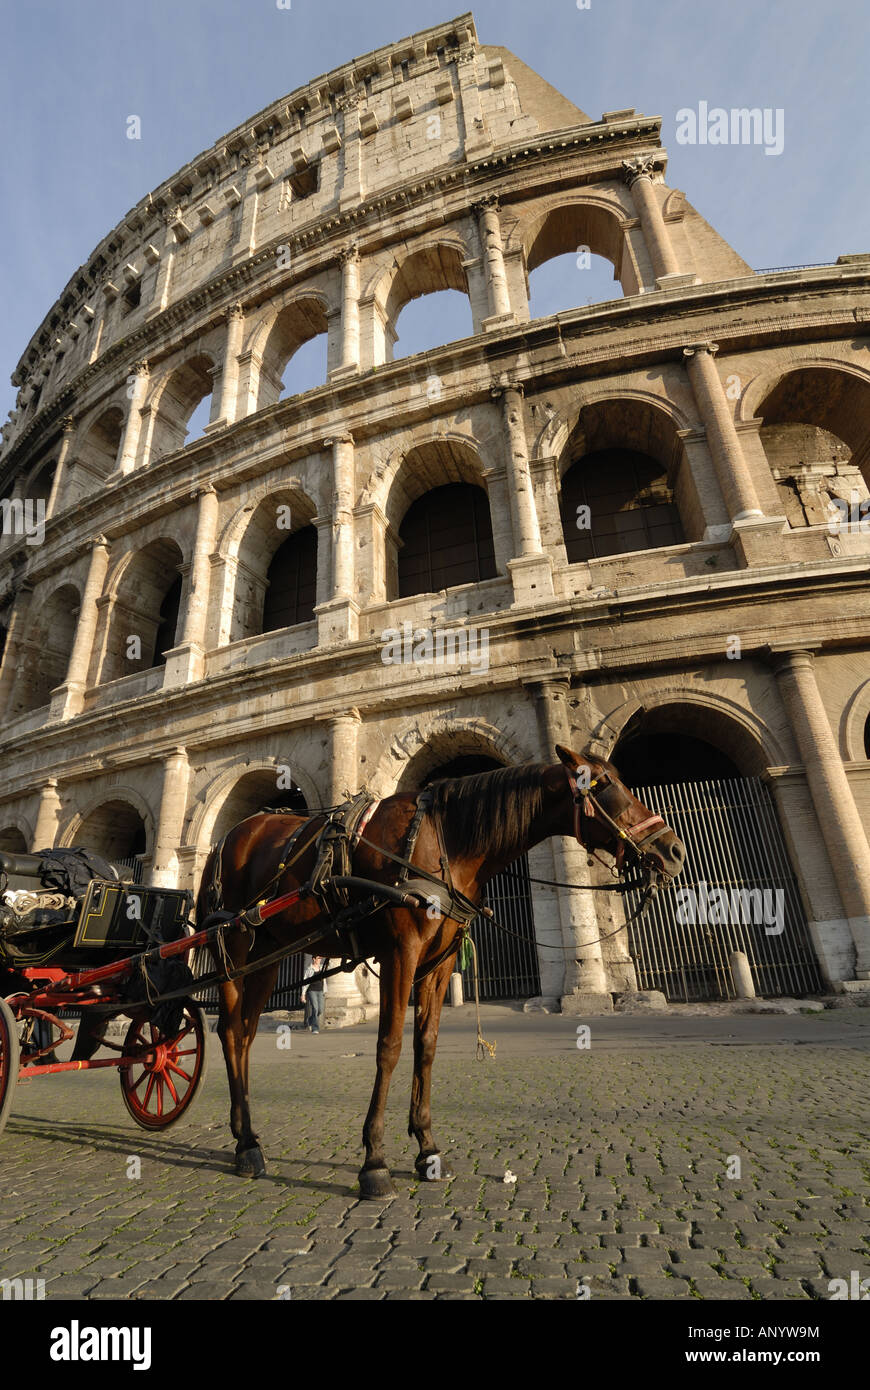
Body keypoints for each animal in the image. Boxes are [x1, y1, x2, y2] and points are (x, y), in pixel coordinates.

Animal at [195, 743, 685, 1198]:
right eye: (604, 785)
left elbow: (426, 1046)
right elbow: (389, 1046)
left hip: (269, 954)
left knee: (246, 1033)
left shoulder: (438, 963)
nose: (674, 849)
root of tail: (226, 840)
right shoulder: (400, 952)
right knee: (230, 1031)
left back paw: (246, 1135)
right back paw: (246, 1145)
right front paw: (374, 1162)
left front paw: (427, 1149)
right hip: (232, 948)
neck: (441, 841)